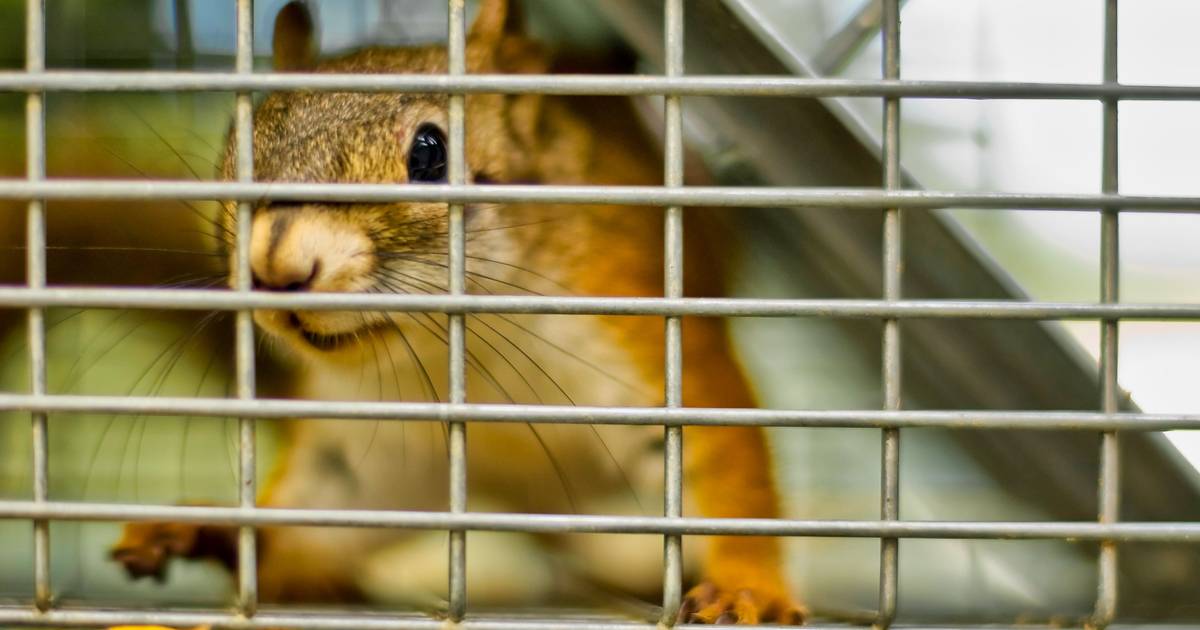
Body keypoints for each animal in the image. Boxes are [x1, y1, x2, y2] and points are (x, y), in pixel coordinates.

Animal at [110, 0, 804, 625]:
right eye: (239, 145)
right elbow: (308, 531)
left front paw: (746, 590)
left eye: (429, 152)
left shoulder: (648, 341)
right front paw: (215, 529)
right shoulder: (368, 457)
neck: (465, 354)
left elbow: (727, 467)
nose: (276, 265)